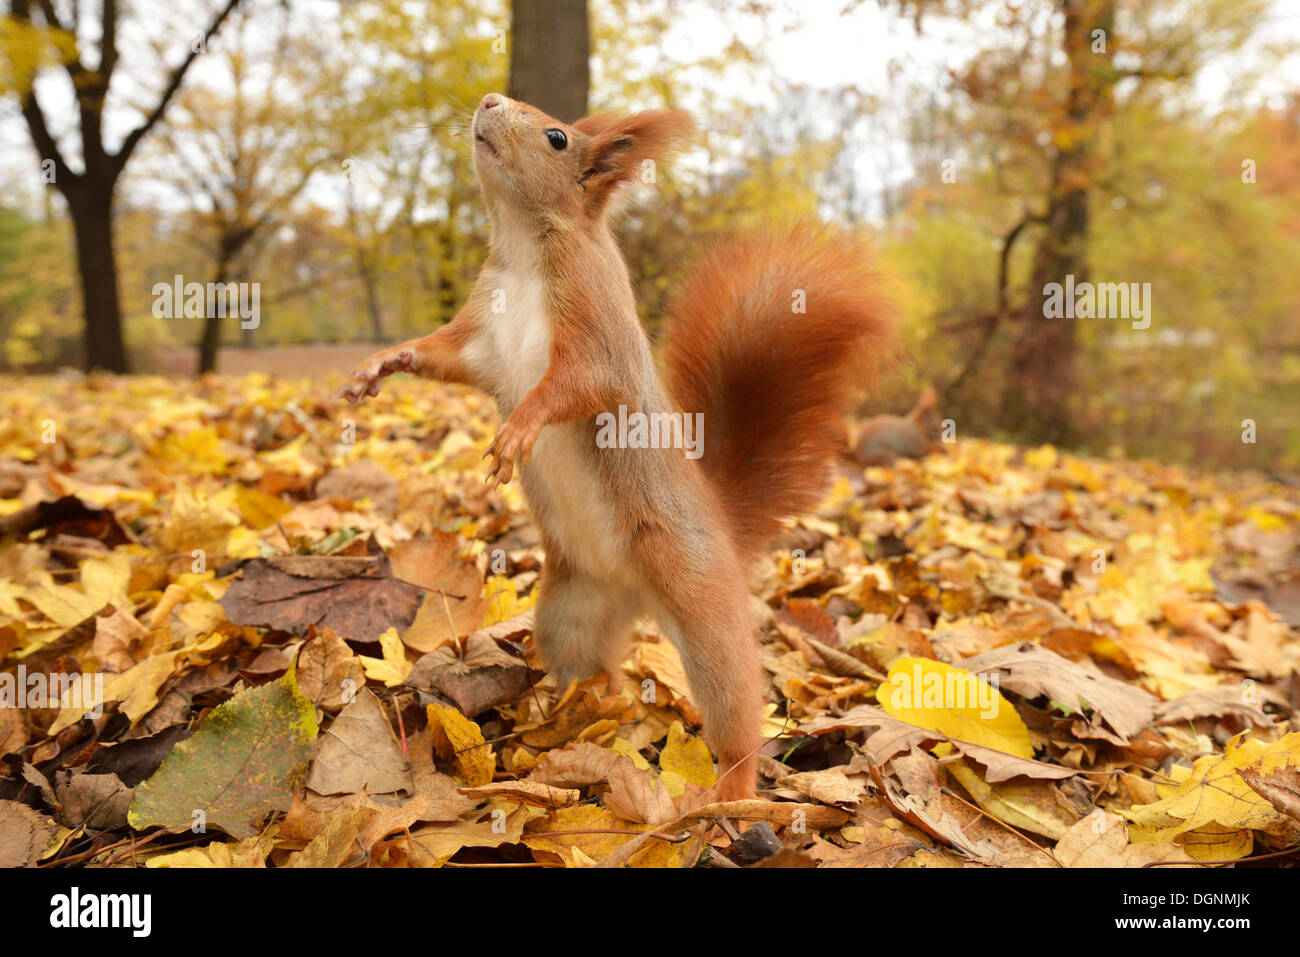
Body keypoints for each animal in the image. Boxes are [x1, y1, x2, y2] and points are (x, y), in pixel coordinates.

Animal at [339, 93, 894, 802]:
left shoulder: (596, 331)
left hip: (696, 593)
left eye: (556, 137)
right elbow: (439, 355)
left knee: (736, 704)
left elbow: (573, 386)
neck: (524, 251)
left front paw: (517, 431)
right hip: (572, 610)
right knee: (594, 664)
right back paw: (577, 709)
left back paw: (730, 794)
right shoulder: (480, 340)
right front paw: (381, 364)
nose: (490, 101)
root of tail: (638, 591)